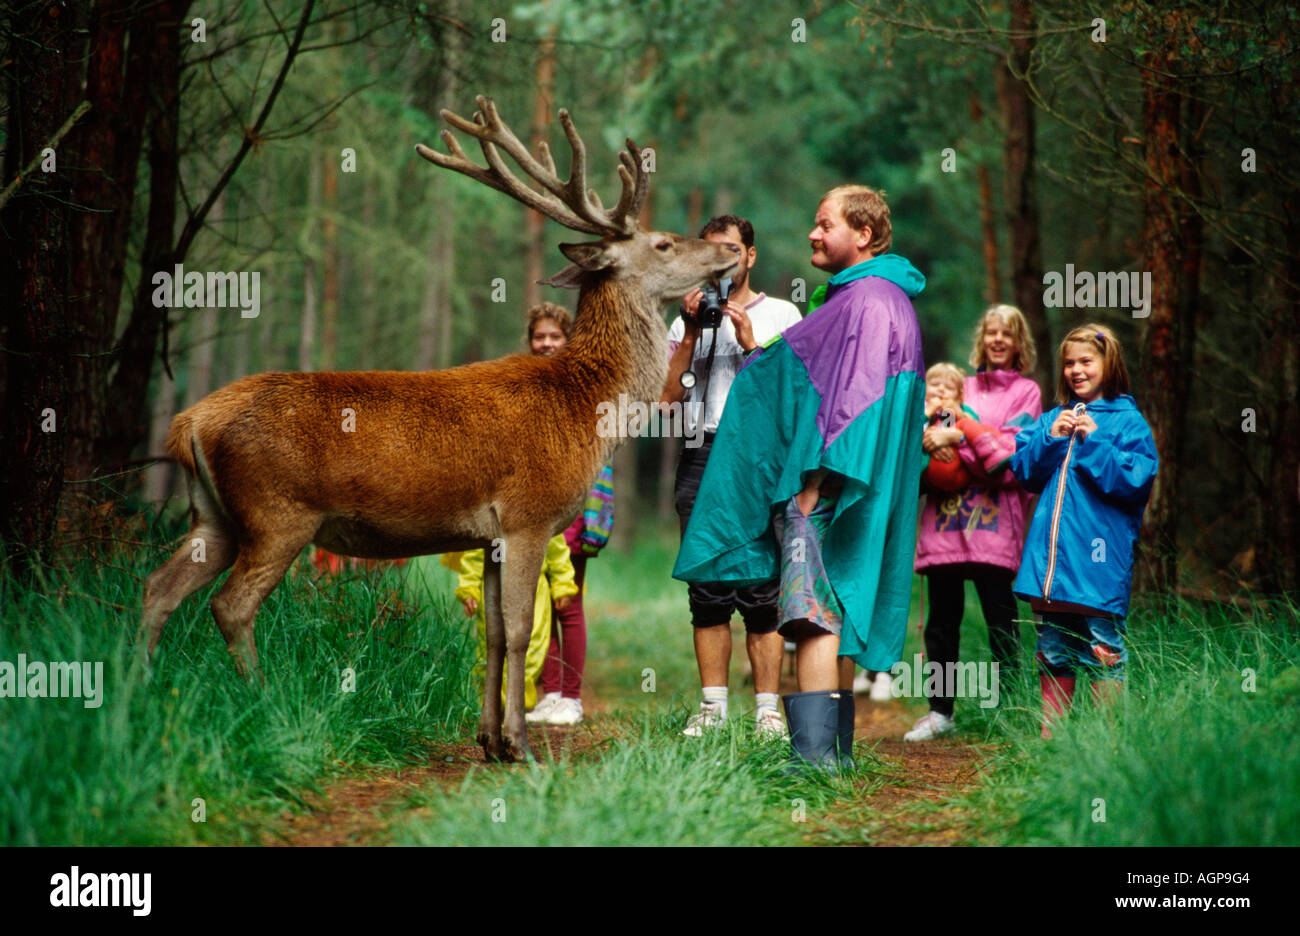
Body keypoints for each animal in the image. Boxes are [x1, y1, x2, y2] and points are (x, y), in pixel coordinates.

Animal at [137, 96, 739, 763]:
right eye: (663, 243)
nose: (726, 254)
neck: (585, 407)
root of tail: (188, 424)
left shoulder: (489, 535)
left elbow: (495, 632)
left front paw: (489, 740)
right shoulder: (528, 515)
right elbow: (521, 628)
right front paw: (521, 746)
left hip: (212, 514)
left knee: (157, 587)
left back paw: (137, 693)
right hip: (277, 511)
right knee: (230, 604)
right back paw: (262, 704)